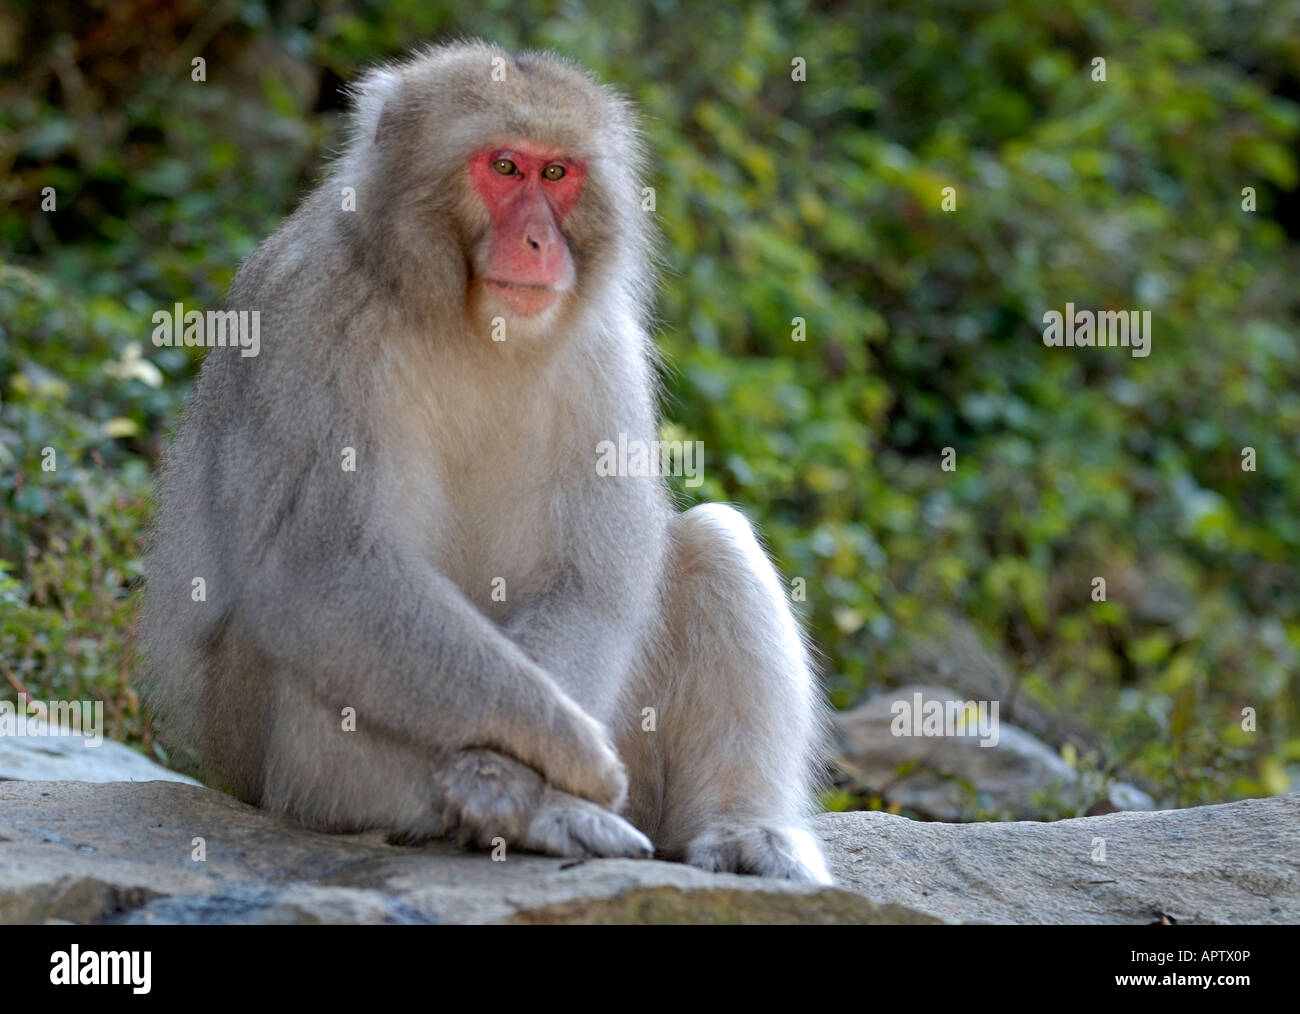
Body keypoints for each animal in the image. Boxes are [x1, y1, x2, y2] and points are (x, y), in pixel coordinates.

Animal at [140, 40, 831, 883]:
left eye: (557, 173)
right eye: (504, 167)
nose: (539, 242)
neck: (468, 317)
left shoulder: (606, 350)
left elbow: (590, 585)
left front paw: (518, 773)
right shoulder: (316, 319)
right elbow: (324, 572)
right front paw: (536, 765)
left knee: (713, 542)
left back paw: (743, 832)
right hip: (260, 759)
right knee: (326, 631)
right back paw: (527, 814)